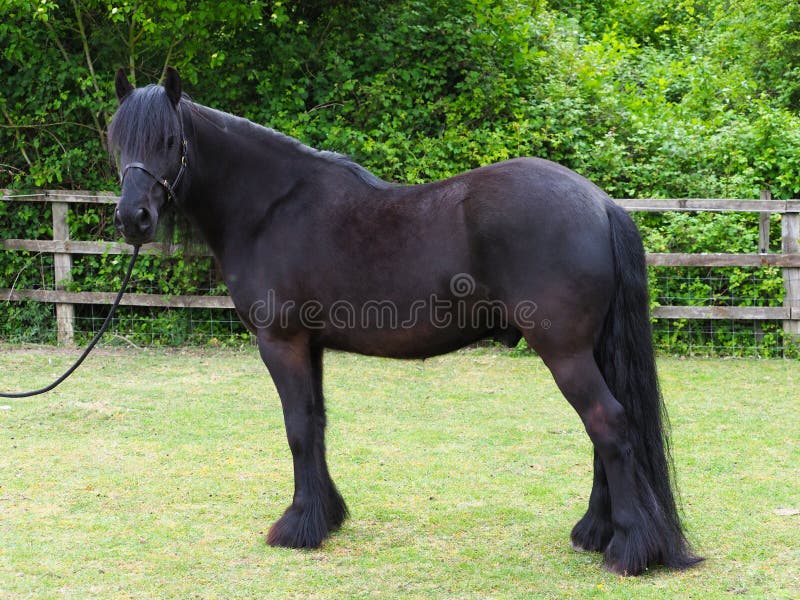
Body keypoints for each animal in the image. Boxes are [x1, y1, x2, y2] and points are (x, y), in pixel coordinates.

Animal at [109, 67, 701, 576]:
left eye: (168, 140)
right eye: (117, 141)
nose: (133, 219)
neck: (271, 208)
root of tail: (600, 202)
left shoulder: (282, 342)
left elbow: (297, 427)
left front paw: (297, 527)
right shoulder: (311, 344)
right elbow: (317, 423)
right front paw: (326, 517)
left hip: (566, 352)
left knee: (609, 424)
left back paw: (628, 549)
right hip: (591, 349)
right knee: (605, 430)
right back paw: (595, 532)